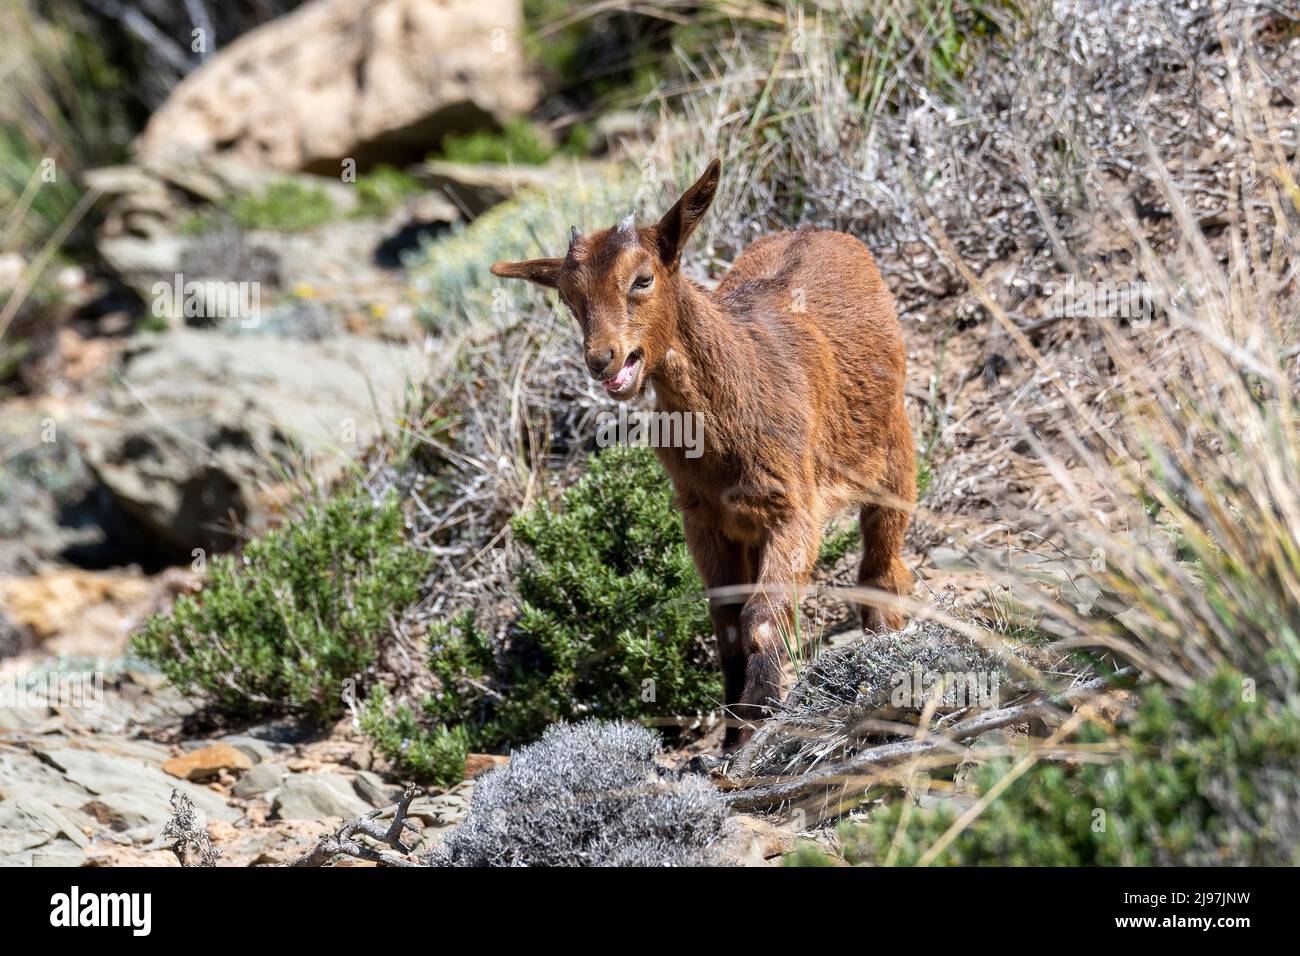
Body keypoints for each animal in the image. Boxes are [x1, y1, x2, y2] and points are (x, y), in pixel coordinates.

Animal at [491, 160, 915, 746]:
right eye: (569, 299)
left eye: (642, 279)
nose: (603, 360)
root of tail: (819, 230)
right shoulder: (703, 518)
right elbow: (728, 625)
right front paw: (736, 733)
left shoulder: (793, 508)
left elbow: (761, 618)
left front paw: (756, 726)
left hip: (890, 439)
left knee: (883, 542)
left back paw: (884, 632)